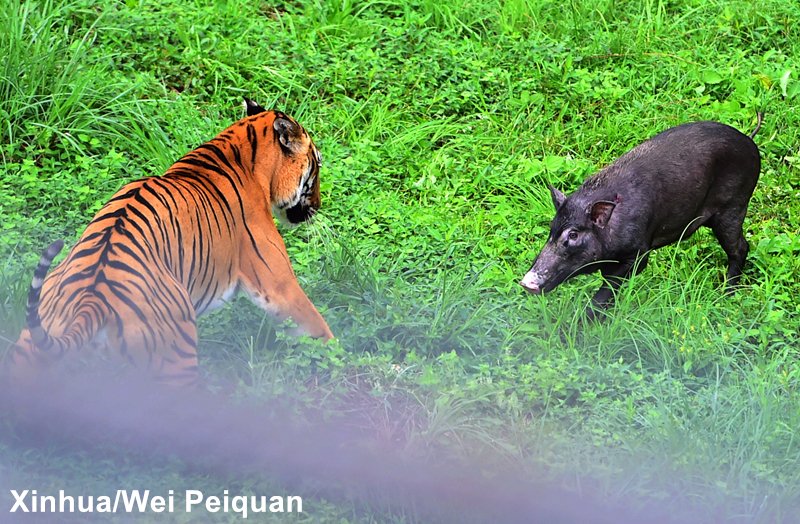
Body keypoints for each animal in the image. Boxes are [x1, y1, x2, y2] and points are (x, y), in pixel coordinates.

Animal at [7, 98, 334, 386]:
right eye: (316, 165)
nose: (318, 206)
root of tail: (92, 303)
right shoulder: (276, 282)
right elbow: (312, 320)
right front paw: (336, 354)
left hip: (29, 349)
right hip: (177, 357)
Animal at [520, 116, 762, 319]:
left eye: (573, 235)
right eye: (551, 229)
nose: (526, 282)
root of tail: (749, 140)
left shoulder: (638, 253)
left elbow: (608, 290)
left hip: (734, 205)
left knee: (741, 247)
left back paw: (726, 294)